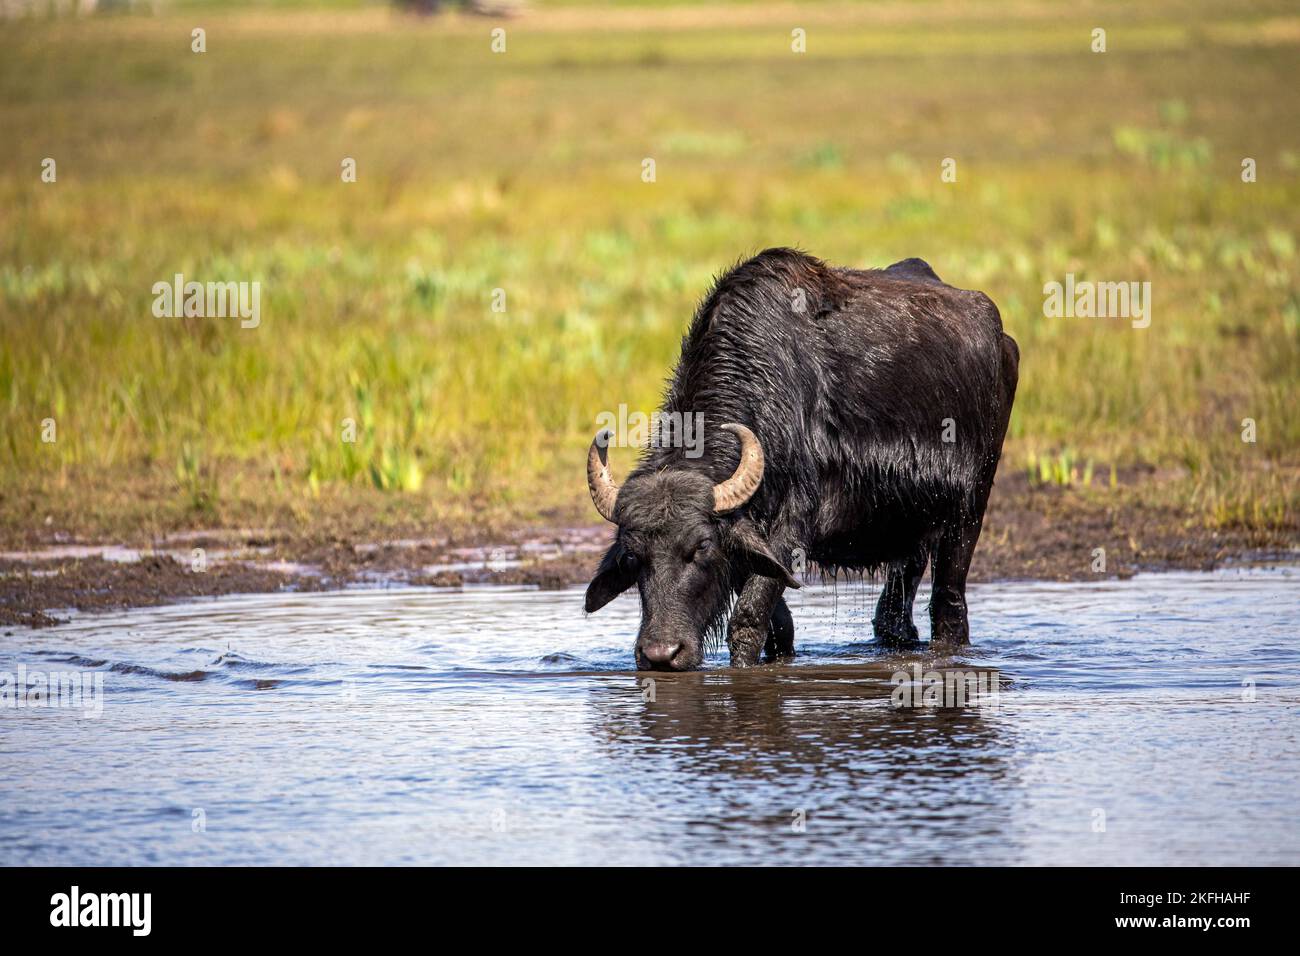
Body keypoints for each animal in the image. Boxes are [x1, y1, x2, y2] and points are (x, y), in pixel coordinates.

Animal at [585, 248, 1019, 671]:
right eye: (632, 555)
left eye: (702, 546)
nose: (661, 654)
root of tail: (1001, 339)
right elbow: (779, 624)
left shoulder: (790, 527)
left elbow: (748, 619)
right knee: (893, 613)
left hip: (968, 510)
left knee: (948, 605)